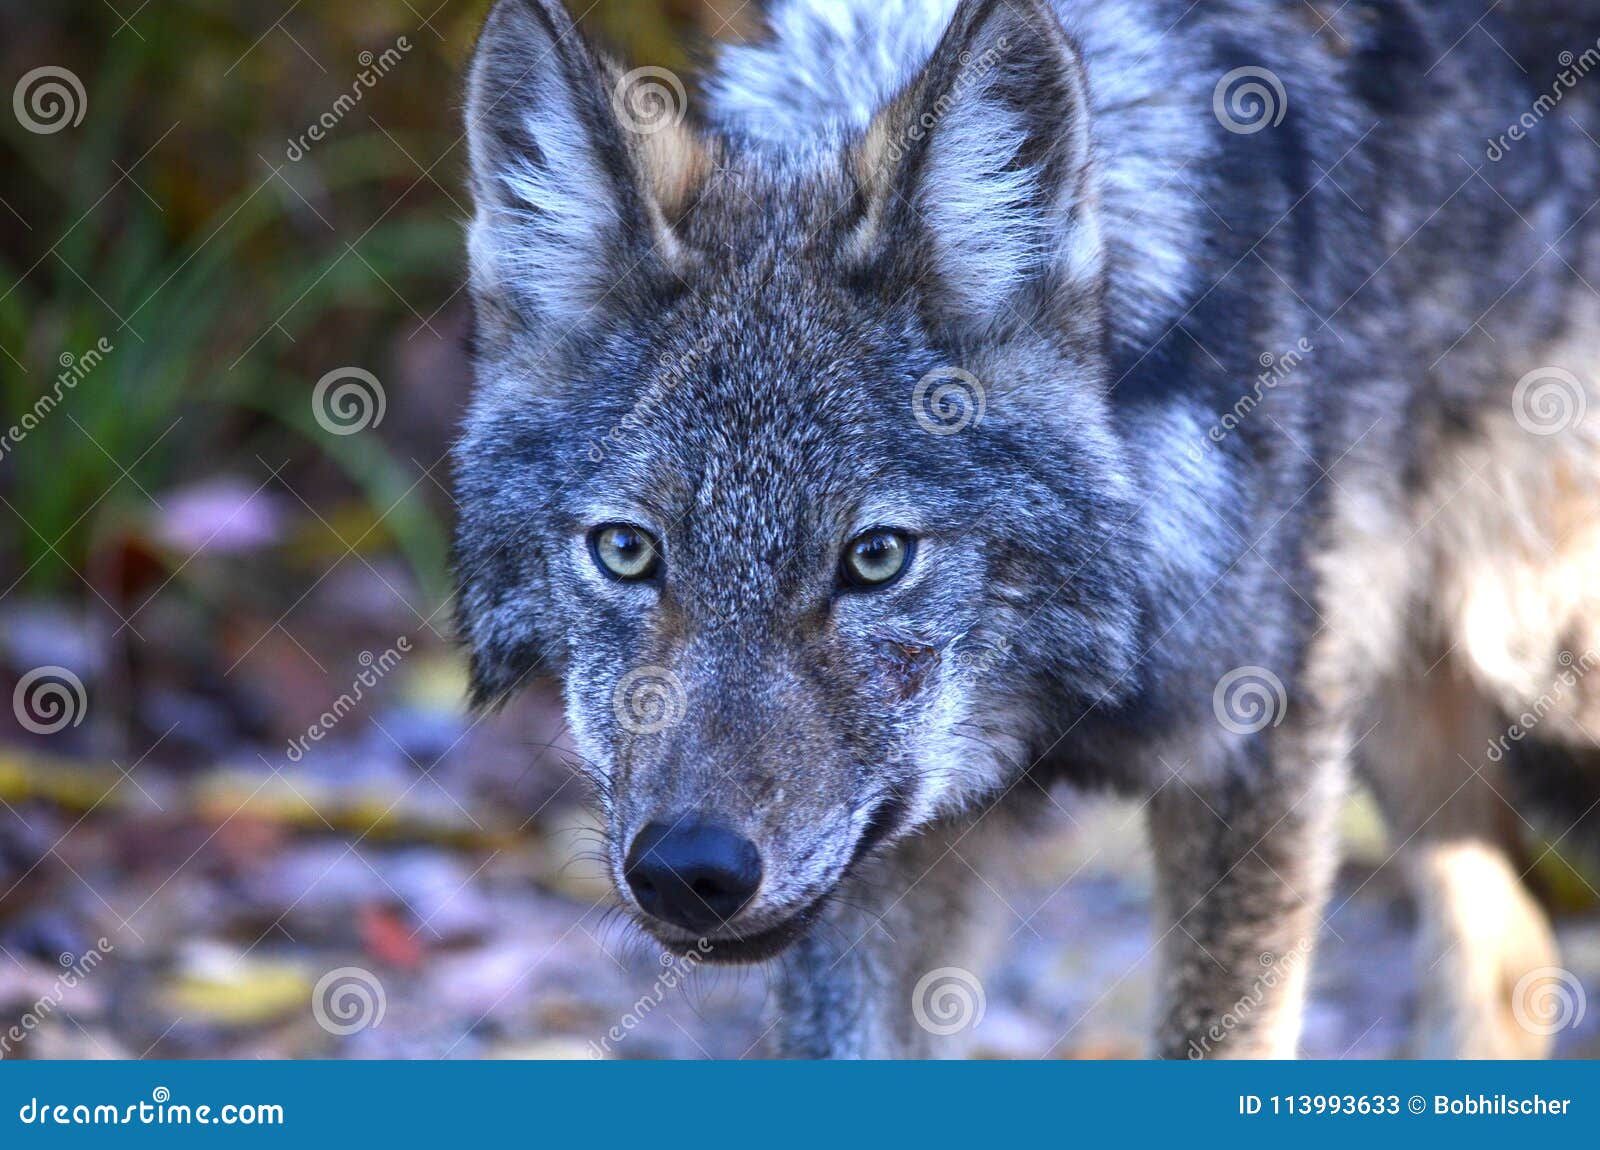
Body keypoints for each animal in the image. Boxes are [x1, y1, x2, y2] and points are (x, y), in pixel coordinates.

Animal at [453, 0, 1600, 1057]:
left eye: (876, 558)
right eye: (626, 551)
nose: (690, 870)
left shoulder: (1256, 762)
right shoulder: (893, 869)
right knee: (1513, 964)